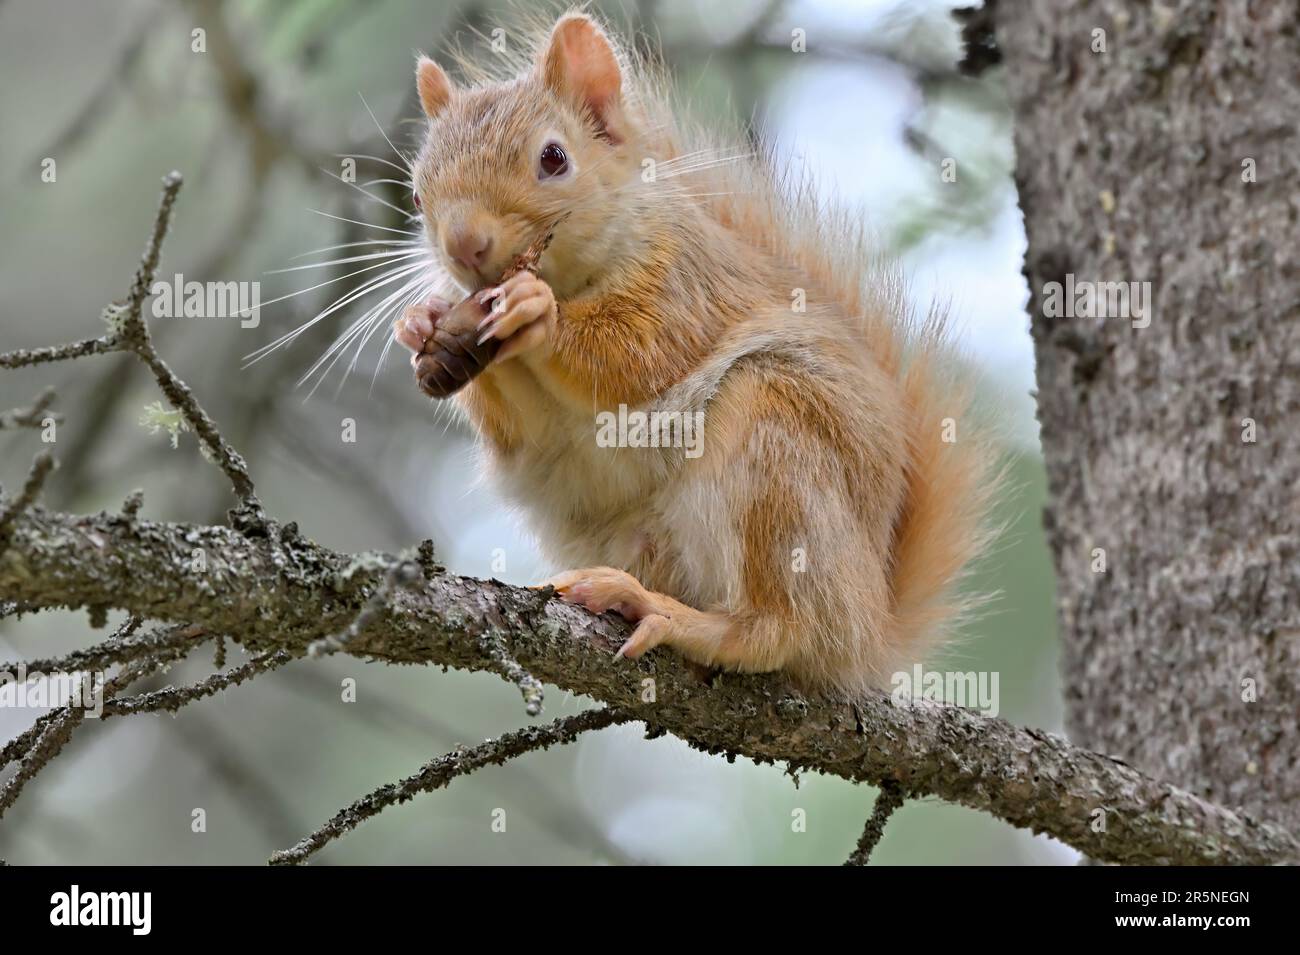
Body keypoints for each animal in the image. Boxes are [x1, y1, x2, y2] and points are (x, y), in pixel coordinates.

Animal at [392, 11, 999, 697]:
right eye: (416, 195)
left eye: (554, 158)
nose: (464, 245)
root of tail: (872, 632)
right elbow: (521, 432)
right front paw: (422, 323)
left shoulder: (683, 283)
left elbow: (634, 355)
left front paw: (539, 315)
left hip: (776, 446)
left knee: (779, 630)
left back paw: (669, 614)